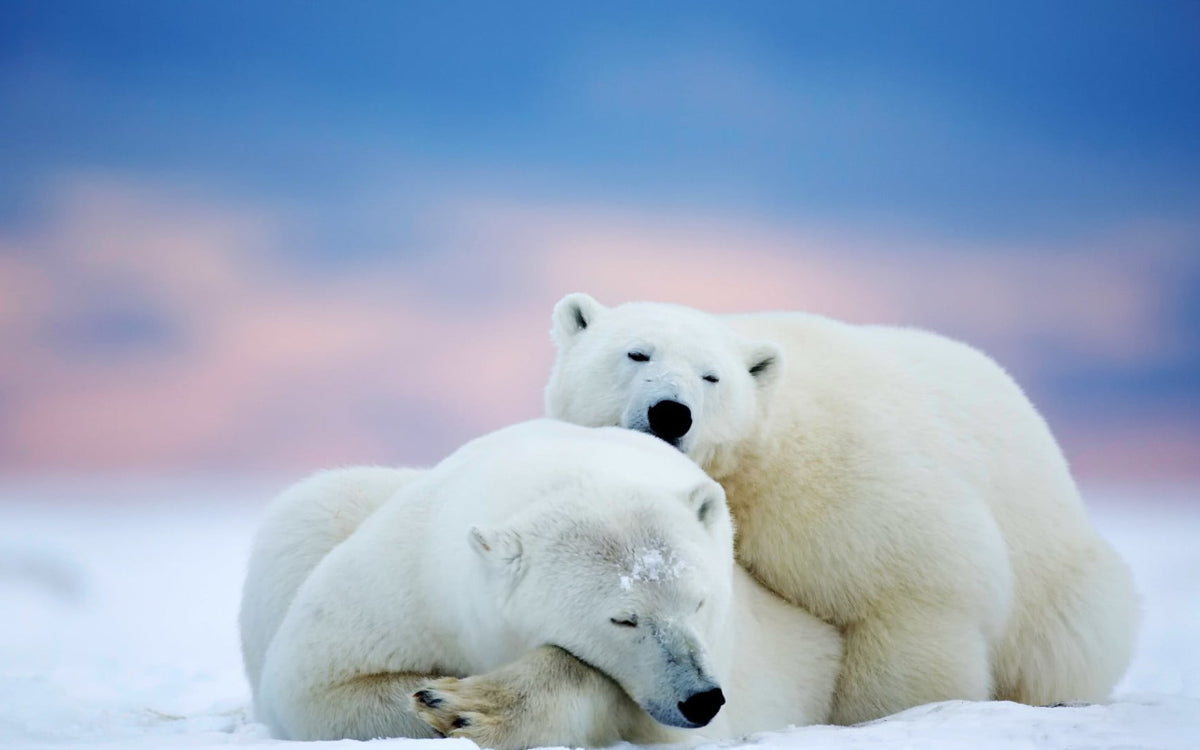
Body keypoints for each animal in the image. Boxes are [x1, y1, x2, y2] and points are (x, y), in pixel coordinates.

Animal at [239, 419, 842, 748]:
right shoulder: (408, 581)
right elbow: (317, 686)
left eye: (699, 601)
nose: (701, 698)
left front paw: (468, 705)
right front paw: (440, 698)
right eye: (624, 618)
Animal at [545, 293, 1139, 726]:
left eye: (712, 376)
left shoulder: (843, 486)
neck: (758, 460)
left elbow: (913, 594)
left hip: (1059, 584)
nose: (671, 412)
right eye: (636, 353)